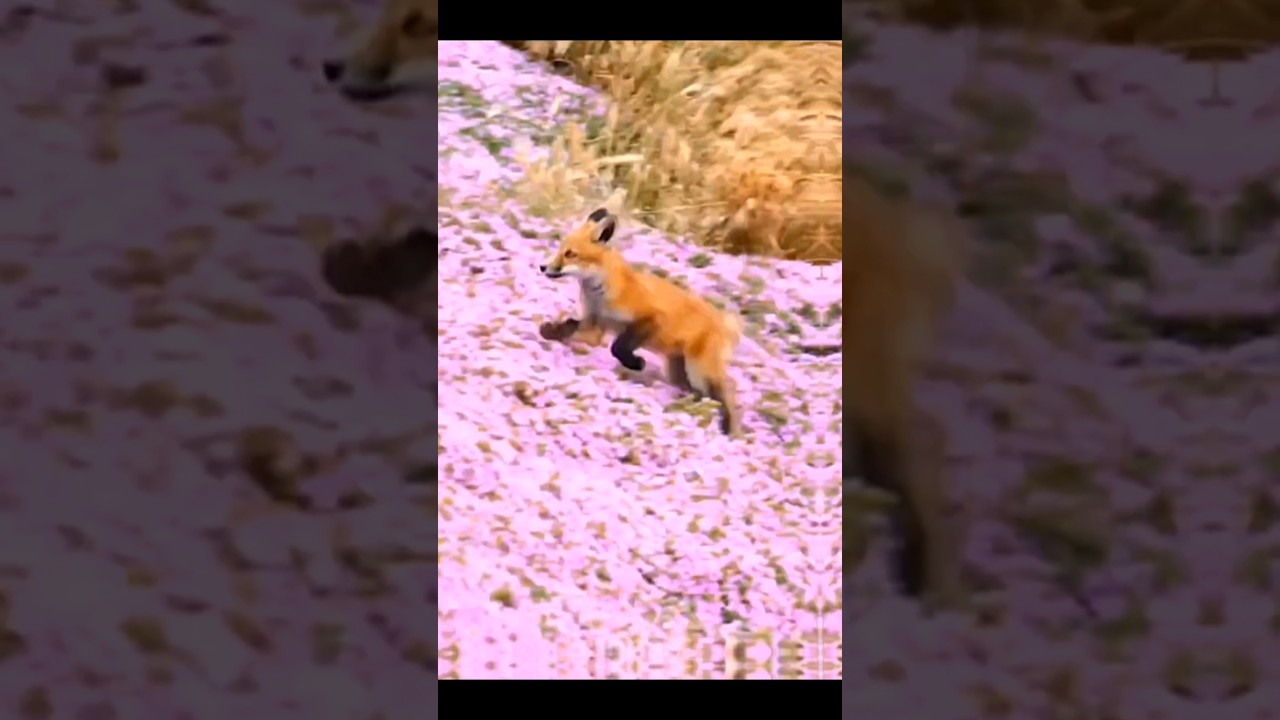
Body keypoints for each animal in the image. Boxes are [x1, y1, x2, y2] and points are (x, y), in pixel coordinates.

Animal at [538, 209, 743, 436]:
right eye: (560, 249)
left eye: (570, 254)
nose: (542, 267)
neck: (604, 294)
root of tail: (724, 320)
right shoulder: (594, 325)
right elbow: (569, 326)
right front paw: (550, 332)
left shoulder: (651, 319)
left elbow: (618, 347)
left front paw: (636, 363)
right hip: (679, 373)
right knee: (701, 395)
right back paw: (690, 411)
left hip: (699, 370)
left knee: (727, 391)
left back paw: (728, 429)